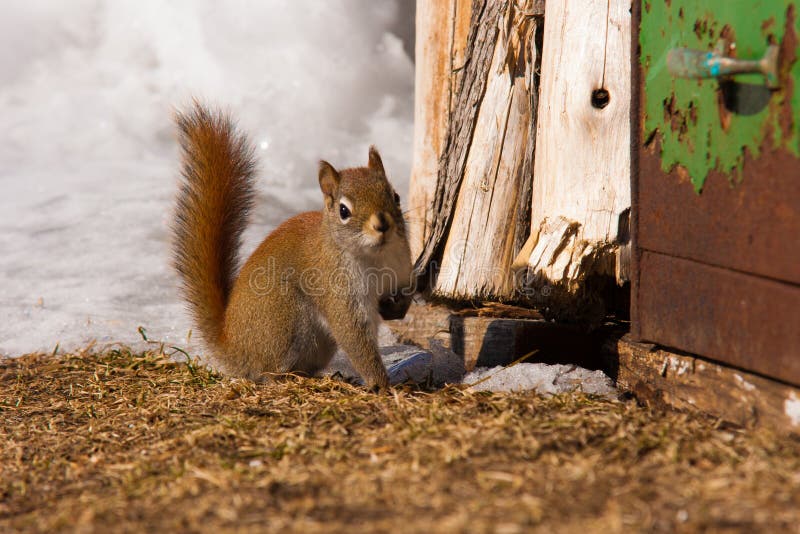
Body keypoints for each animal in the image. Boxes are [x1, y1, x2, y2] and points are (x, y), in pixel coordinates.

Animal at [172, 103, 413, 390]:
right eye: (344, 211)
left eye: (395, 197)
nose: (382, 225)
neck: (375, 257)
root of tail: (231, 345)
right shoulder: (338, 291)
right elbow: (354, 336)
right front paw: (380, 383)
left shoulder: (401, 267)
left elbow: (407, 291)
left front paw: (397, 308)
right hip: (283, 322)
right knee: (268, 372)